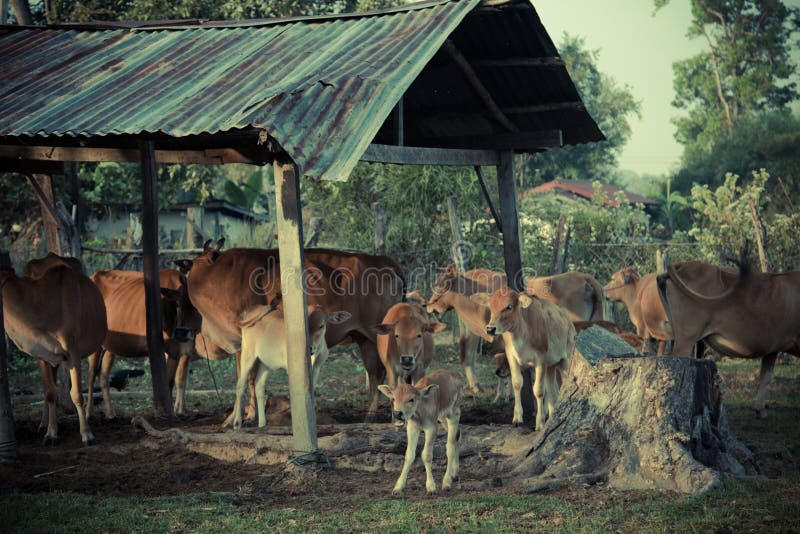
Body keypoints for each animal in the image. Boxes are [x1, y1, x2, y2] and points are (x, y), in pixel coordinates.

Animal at [1, 262, 106, 445]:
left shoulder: (72, 352)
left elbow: (77, 394)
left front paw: (87, 434)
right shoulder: (42, 356)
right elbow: (50, 393)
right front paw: (51, 433)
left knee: (93, 375)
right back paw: (44, 424)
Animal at [87, 269, 201, 418]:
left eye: (196, 306)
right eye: (178, 305)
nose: (181, 332)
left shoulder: (182, 350)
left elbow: (175, 381)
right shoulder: (166, 349)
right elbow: (166, 382)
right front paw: (168, 412)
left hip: (110, 346)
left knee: (103, 375)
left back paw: (110, 413)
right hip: (94, 342)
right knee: (91, 374)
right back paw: (89, 413)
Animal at [232, 301, 350, 429]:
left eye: (321, 325)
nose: (310, 348)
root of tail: (249, 311)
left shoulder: (316, 368)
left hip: (265, 362)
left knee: (259, 385)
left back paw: (262, 424)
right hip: (247, 353)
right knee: (240, 386)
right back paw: (237, 423)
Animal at [472, 287, 575, 429]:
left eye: (509, 306)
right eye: (491, 306)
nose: (490, 329)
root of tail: (569, 322)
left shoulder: (541, 360)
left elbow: (538, 390)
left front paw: (539, 423)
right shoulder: (512, 357)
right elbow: (516, 383)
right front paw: (517, 418)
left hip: (566, 359)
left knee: (563, 385)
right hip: (551, 366)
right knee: (552, 392)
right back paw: (552, 417)